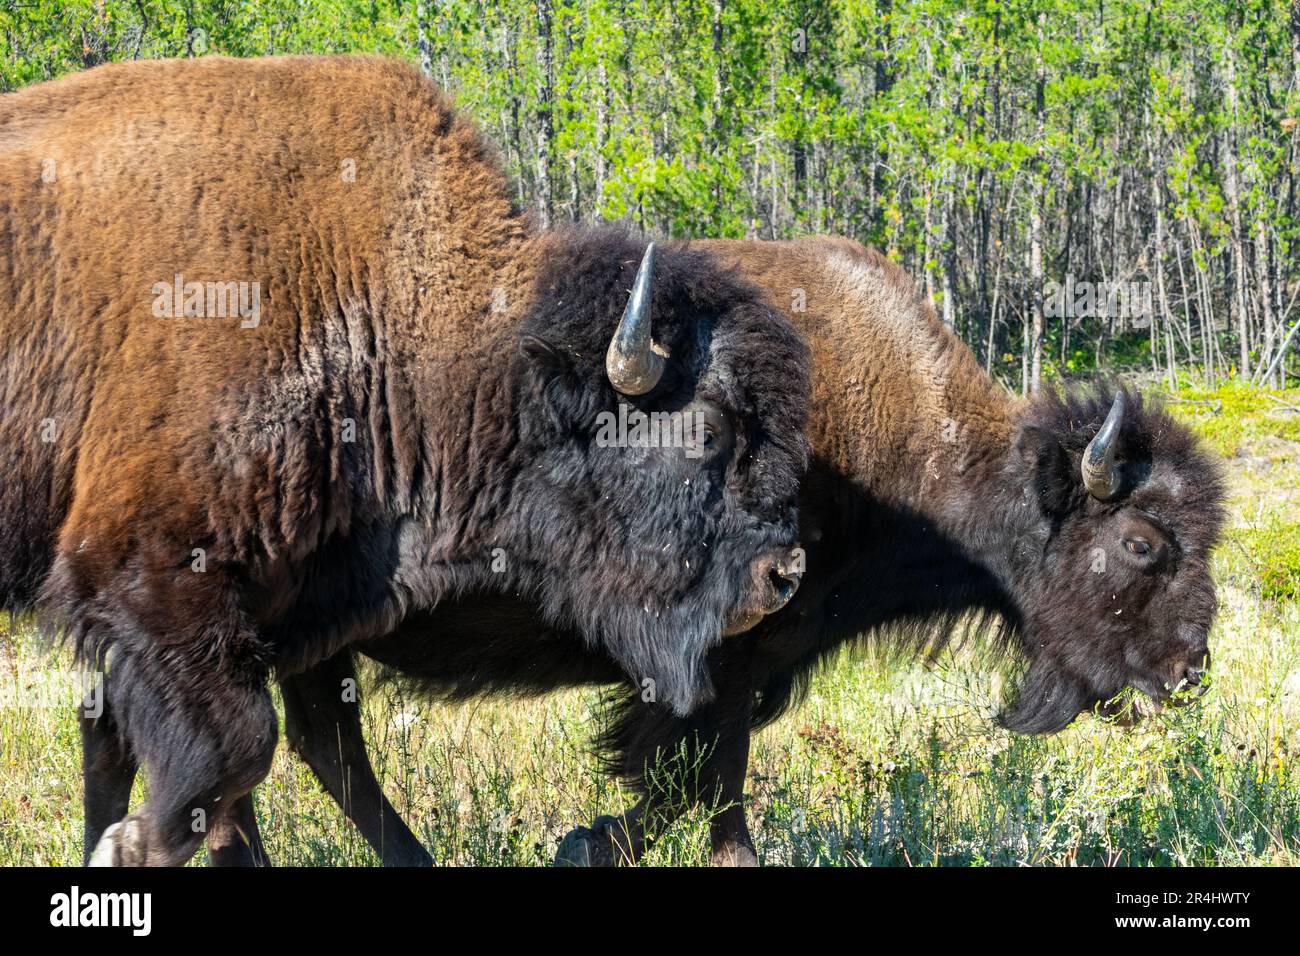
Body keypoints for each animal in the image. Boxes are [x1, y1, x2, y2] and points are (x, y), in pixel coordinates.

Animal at [0, 57, 812, 866]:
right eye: (708, 430)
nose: (784, 574)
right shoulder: (148, 576)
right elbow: (235, 744)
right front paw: (124, 847)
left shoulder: (269, 603)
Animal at [229, 237, 1226, 867]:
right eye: (1142, 542)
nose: (1190, 672)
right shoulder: (728, 661)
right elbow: (711, 787)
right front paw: (582, 845)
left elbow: (692, 784)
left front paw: (582, 841)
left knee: (316, 744)